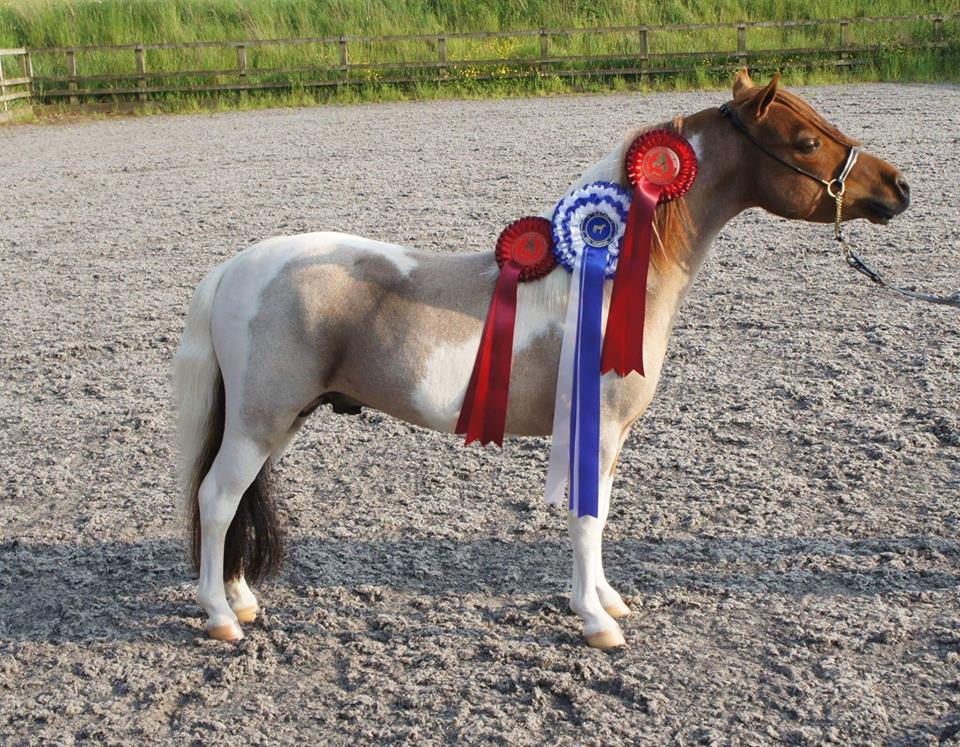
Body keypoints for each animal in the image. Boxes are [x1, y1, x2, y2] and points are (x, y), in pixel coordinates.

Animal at [173, 70, 910, 649]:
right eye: (806, 141)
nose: (898, 186)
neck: (607, 276)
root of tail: (234, 268)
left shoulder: (608, 438)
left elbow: (600, 512)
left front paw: (607, 600)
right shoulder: (598, 426)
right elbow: (587, 521)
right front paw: (596, 622)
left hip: (278, 422)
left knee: (231, 501)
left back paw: (241, 599)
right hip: (261, 420)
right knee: (216, 498)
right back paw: (220, 617)